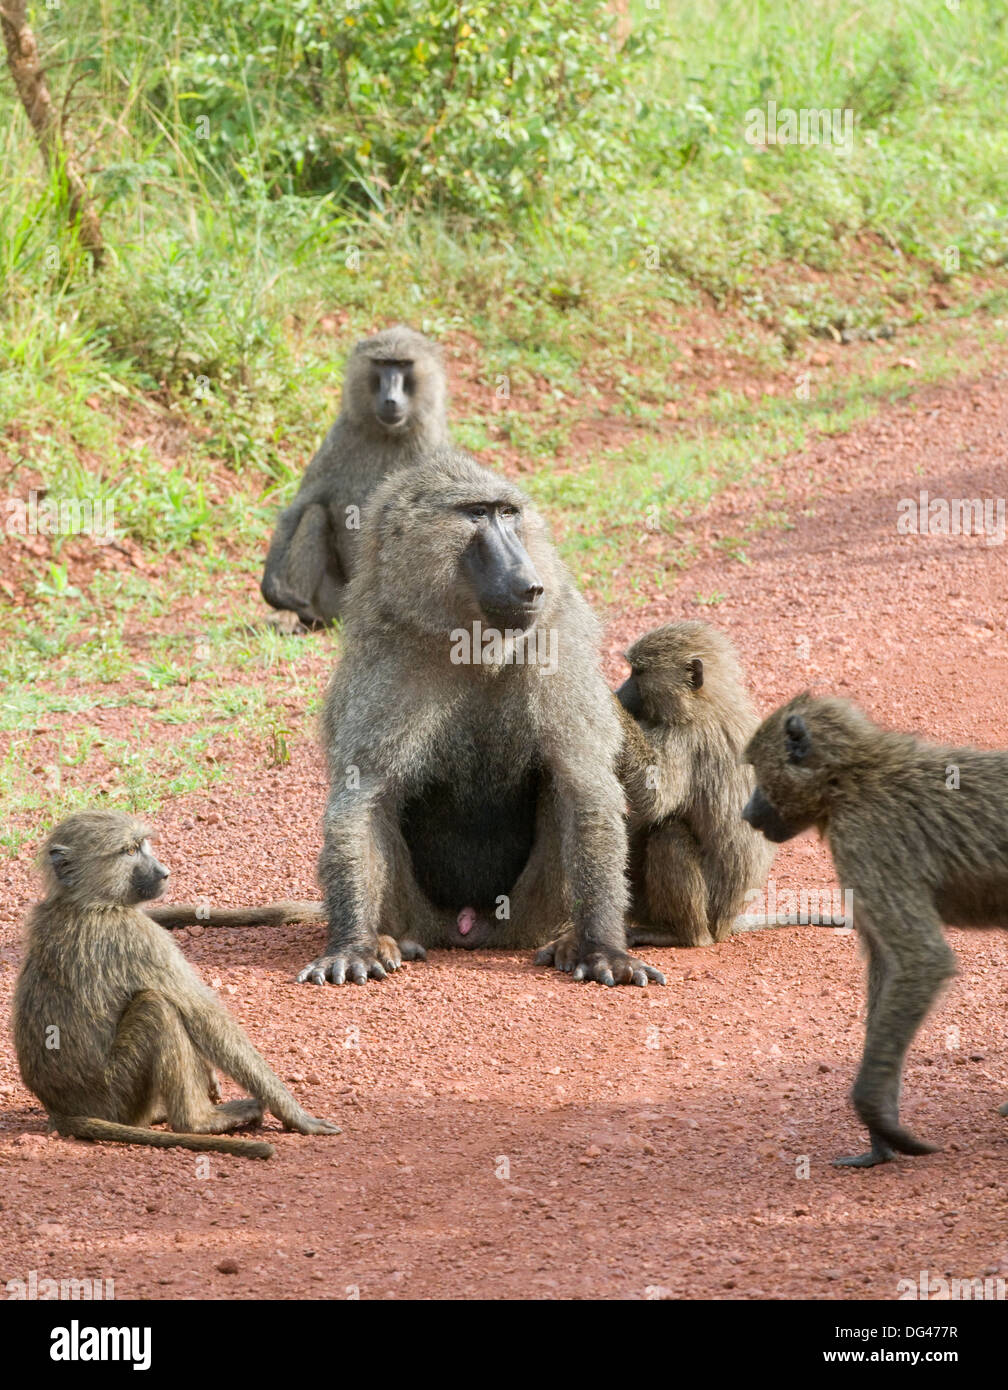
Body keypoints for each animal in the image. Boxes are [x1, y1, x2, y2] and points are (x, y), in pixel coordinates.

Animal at [12, 811, 341, 1159]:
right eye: (129, 851)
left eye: (142, 845)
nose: (164, 873)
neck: (82, 902)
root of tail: (62, 1112)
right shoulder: (141, 937)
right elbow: (202, 1015)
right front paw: (298, 1116)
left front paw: (211, 1078)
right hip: (117, 1094)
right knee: (158, 1007)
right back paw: (199, 1122)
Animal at [261, 325, 448, 628]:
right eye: (382, 363)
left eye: (403, 365)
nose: (390, 399)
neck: (386, 436)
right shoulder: (339, 438)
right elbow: (301, 505)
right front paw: (272, 589)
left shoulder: (429, 447)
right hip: (332, 602)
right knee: (314, 514)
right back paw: (293, 617)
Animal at [294, 446, 665, 989]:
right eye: (475, 514)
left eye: (508, 513)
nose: (530, 585)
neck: (469, 640)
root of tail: (469, 928)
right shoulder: (387, 657)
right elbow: (363, 798)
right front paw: (352, 947)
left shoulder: (556, 638)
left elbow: (583, 786)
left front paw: (603, 951)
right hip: (420, 913)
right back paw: (388, 941)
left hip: (529, 914)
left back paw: (569, 942)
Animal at [613, 621, 775, 948]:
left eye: (637, 673)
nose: (619, 693)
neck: (703, 702)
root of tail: (726, 923)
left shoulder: (687, 739)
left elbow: (655, 798)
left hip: (709, 910)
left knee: (668, 833)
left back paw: (680, 934)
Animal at [743, 693, 1008, 1167]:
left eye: (757, 770)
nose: (747, 813)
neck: (853, 774)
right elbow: (888, 968)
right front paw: (879, 1141)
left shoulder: (862, 839)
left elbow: (922, 960)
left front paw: (876, 1117)